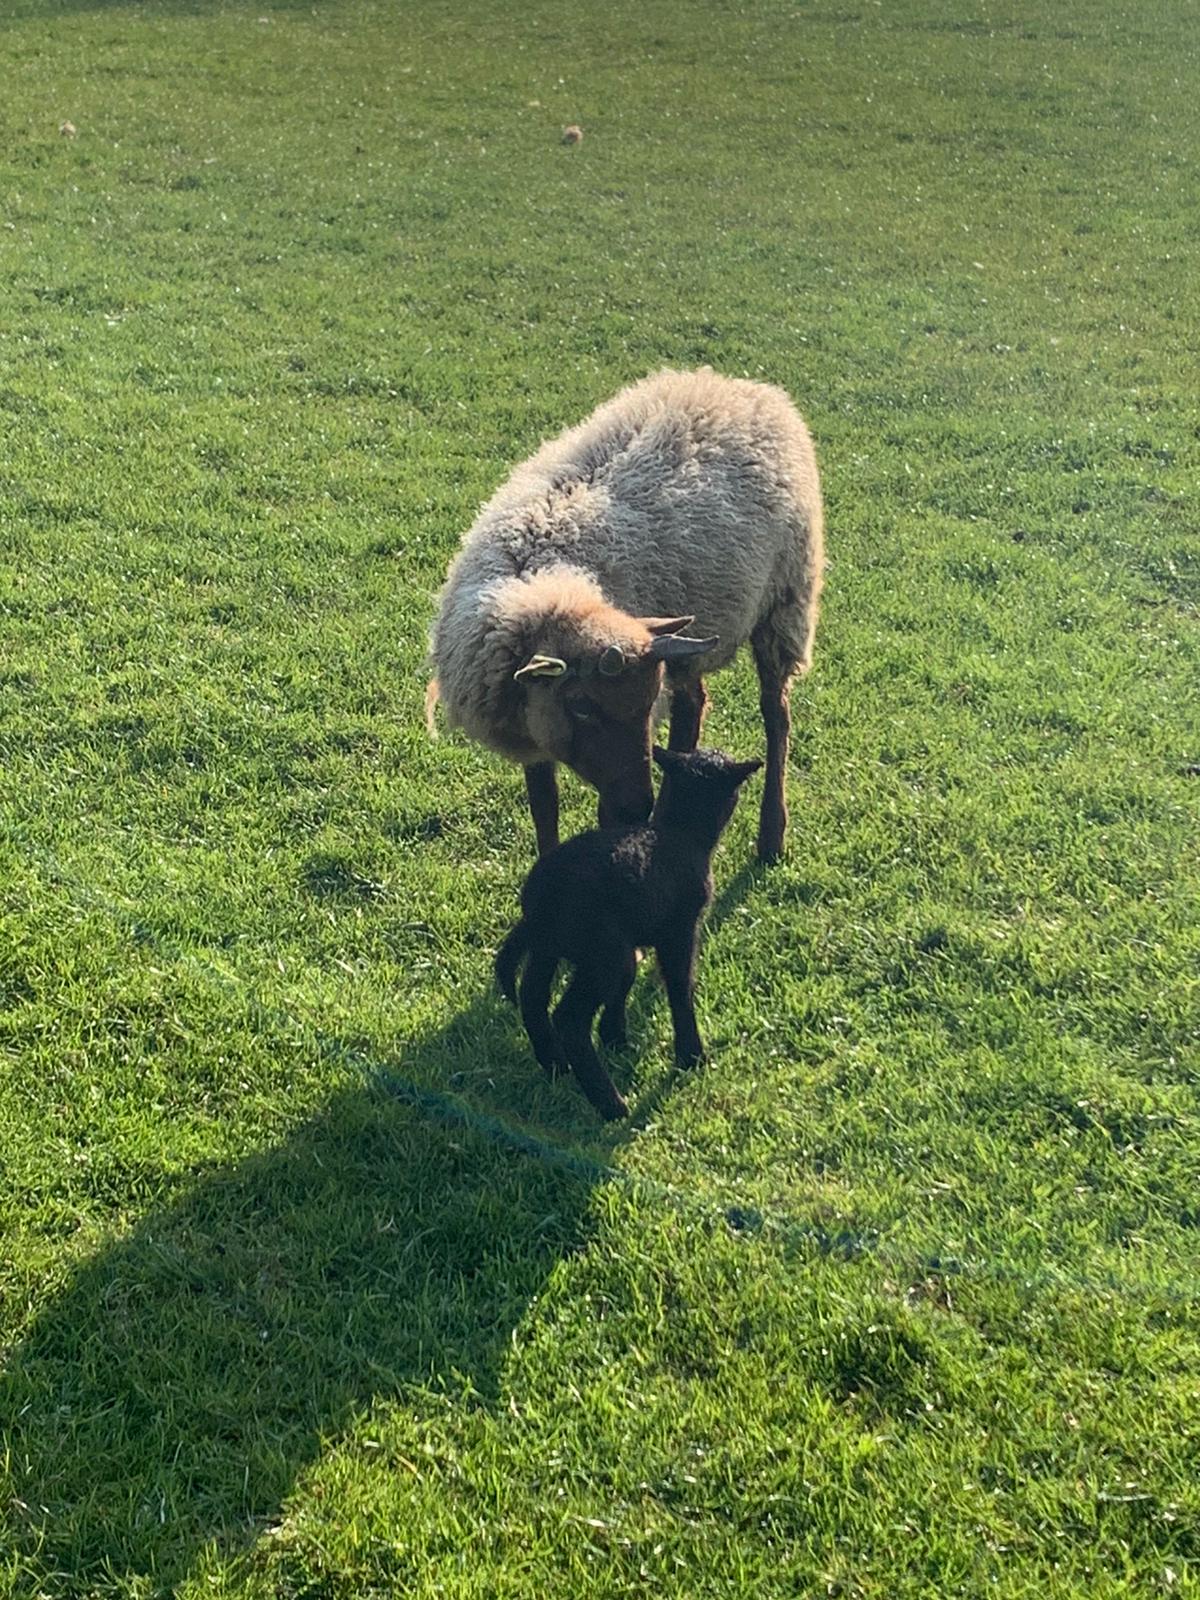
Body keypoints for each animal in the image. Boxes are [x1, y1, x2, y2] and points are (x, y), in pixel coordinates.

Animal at [428, 366, 823, 862]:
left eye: (646, 704)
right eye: (580, 705)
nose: (639, 806)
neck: (552, 580)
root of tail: (746, 387)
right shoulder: (537, 722)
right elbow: (544, 805)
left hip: (786, 602)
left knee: (776, 714)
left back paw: (771, 834)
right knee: (694, 704)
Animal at [495, 745, 763, 1120]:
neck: (681, 833)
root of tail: (540, 898)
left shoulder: (636, 939)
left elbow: (626, 984)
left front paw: (615, 1038)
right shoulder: (680, 929)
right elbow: (679, 985)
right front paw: (691, 1055)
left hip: (553, 947)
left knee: (533, 997)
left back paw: (555, 1065)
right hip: (601, 952)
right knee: (569, 1019)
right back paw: (610, 1104)